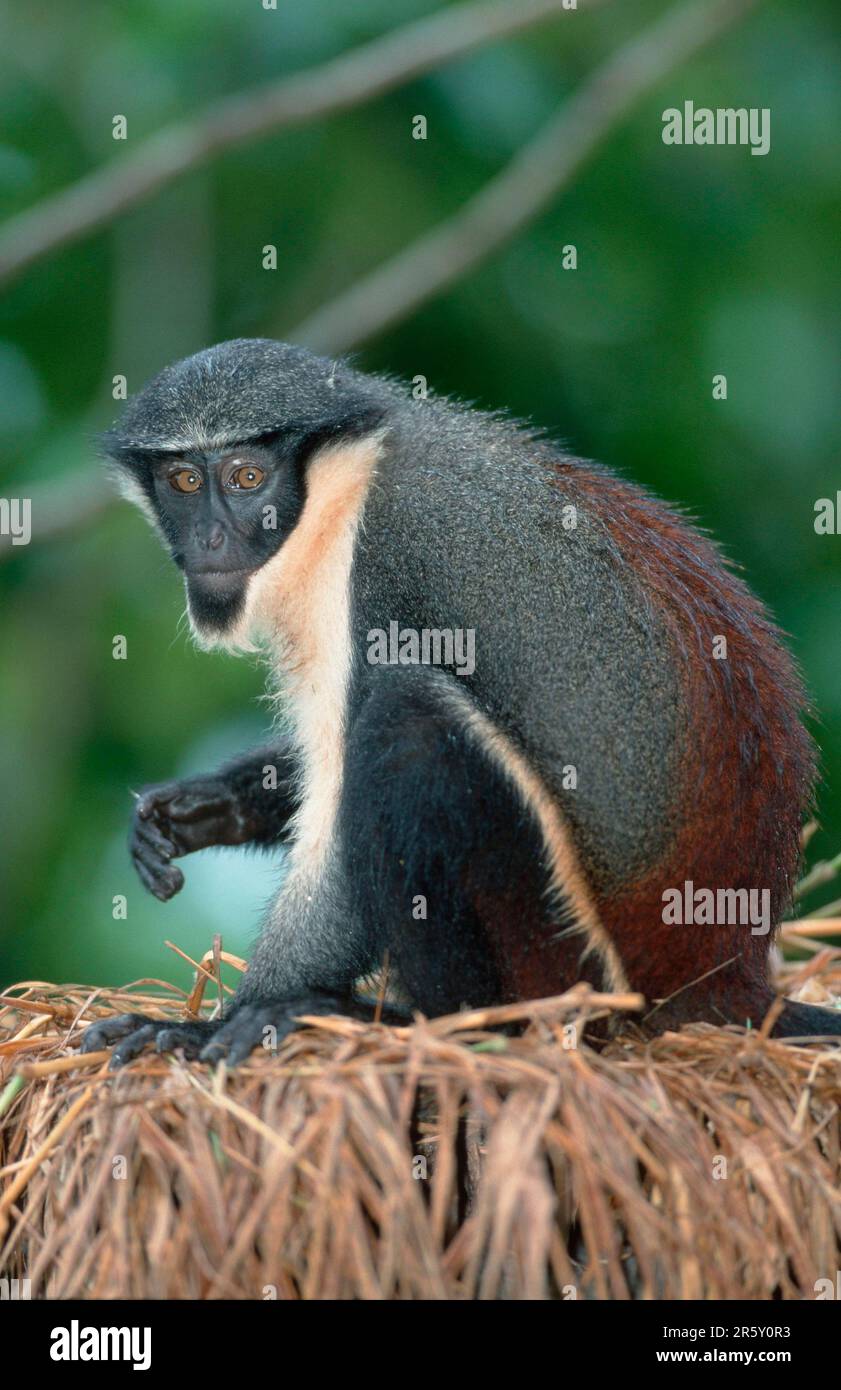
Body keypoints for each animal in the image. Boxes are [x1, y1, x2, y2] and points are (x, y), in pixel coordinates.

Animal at [80, 337, 841, 1067]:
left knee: (407, 718)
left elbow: (340, 827)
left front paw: (210, 1027)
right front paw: (201, 808)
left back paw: (435, 1022)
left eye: (246, 477)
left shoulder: (376, 569)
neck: (347, 484)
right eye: (184, 481)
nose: (208, 538)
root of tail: (720, 983)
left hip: (562, 955)